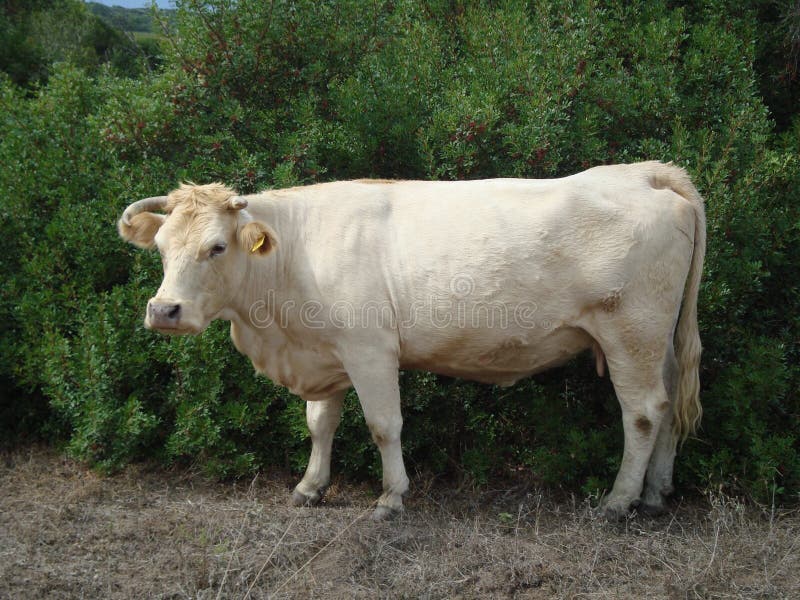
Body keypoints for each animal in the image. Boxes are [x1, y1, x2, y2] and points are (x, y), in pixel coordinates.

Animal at [118, 161, 705, 521]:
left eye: (217, 247)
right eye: (162, 246)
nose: (164, 310)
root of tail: (644, 173)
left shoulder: (369, 349)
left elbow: (384, 425)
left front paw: (391, 497)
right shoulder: (325, 354)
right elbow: (320, 424)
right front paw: (310, 486)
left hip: (631, 331)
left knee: (643, 412)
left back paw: (619, 500)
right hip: (659, 340)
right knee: (669, 404)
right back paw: (656, 494)